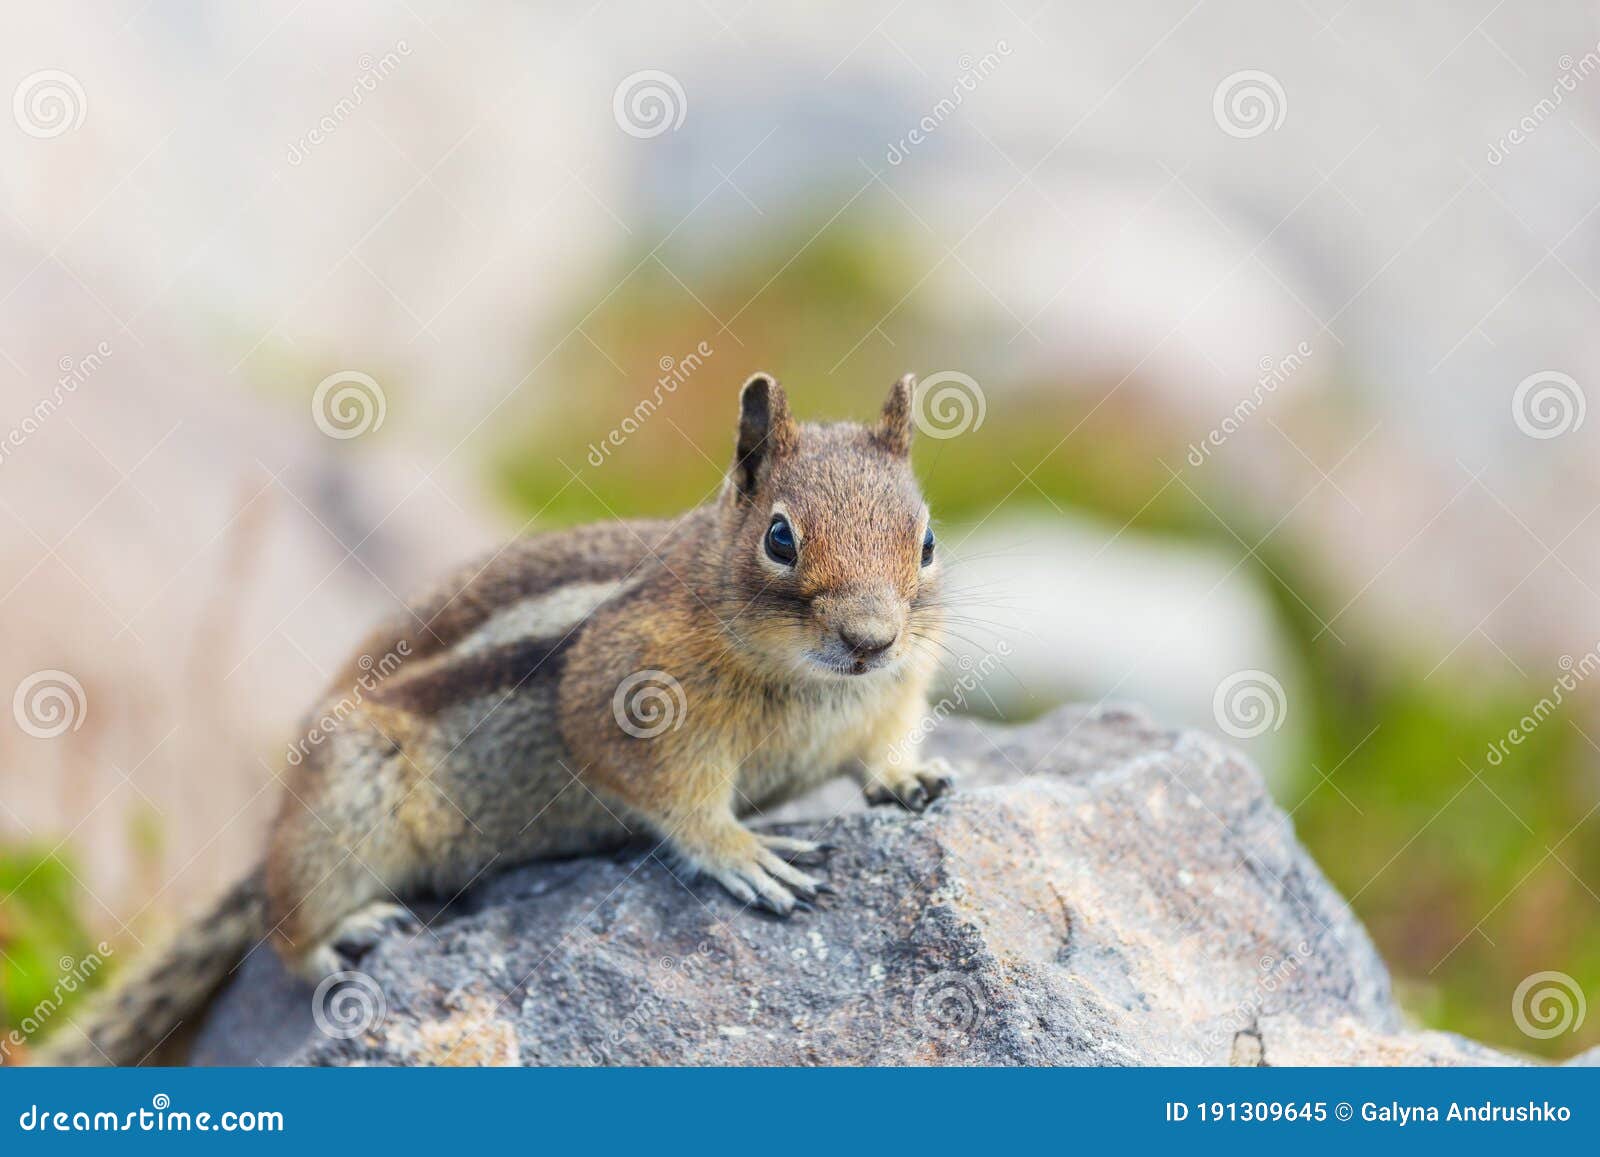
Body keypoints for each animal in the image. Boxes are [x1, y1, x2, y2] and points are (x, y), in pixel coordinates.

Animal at [39, 373, 954, 1066]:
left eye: (928, 542)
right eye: (780, 538)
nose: (871, 639)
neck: (812, 683)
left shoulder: (897, 689)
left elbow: (885, 743)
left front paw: (911, 776)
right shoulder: (624, 693)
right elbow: (677, 799)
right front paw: (744, 852)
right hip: (348, 797)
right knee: (284, 923)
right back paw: (343, 932)